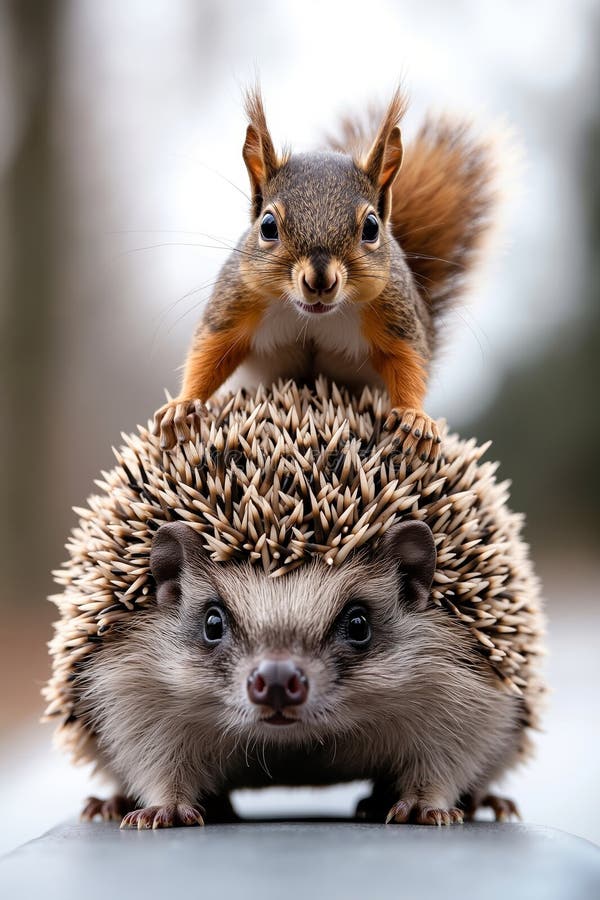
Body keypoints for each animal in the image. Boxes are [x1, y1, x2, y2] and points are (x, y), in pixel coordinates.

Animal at [153, 88, 496, 461]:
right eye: (268, 225)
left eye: (371, 227)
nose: (320, 280)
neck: (313, 317)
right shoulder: (238, 300)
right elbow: (212, 352)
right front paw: (182, 406)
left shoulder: (394, 313)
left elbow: (407, 362)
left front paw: (414, 418)